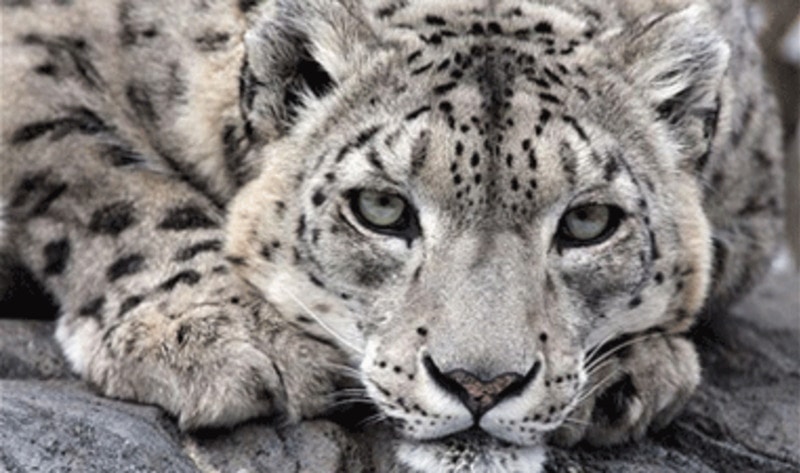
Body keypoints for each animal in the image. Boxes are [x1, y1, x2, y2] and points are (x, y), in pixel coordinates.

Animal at [0, 0, 784, 471]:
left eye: (589, 221)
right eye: (381, 208)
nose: (480, 383)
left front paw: (627, 377)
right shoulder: (37, 46)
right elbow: (102, 179)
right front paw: (224, 336)